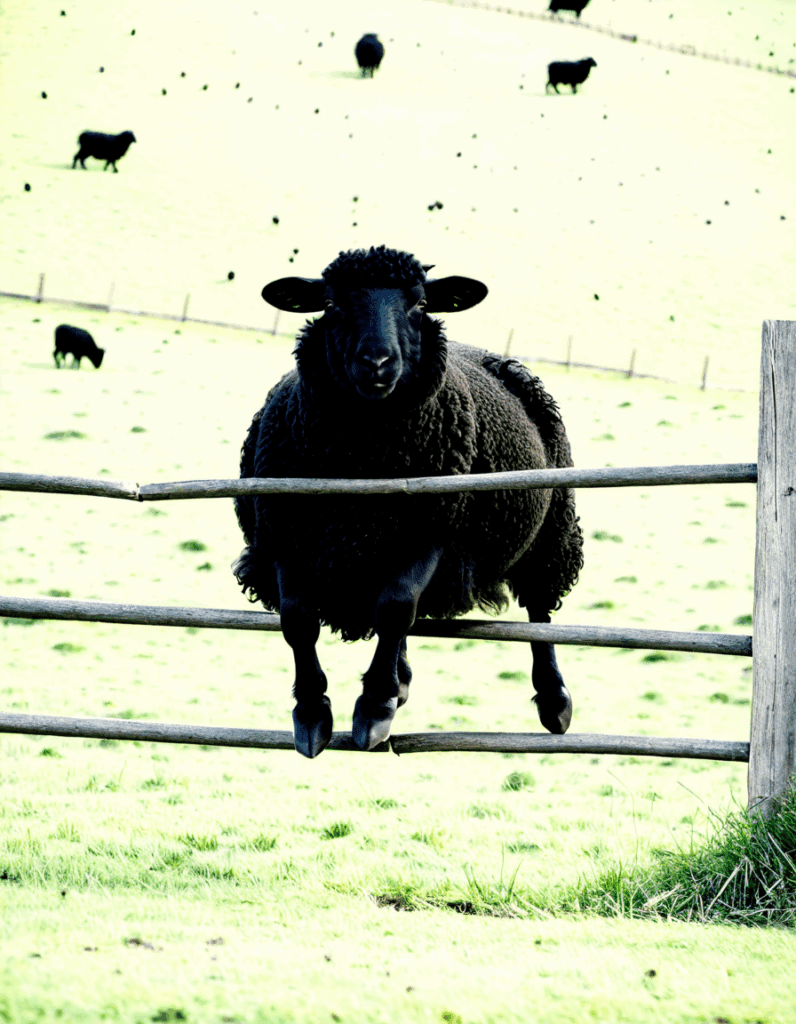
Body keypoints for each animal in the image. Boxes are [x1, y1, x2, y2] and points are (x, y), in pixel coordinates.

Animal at [233, 245, 584, 758]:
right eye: (332, 304)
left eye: (419, 304)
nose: (378, 363)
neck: (363, 466)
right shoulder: (284, 531)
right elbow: (299, 619)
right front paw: (312, 712)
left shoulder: (434, 529)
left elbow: (396, 606)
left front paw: (374, 708)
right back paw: (401, 679)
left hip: (551, 528)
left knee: (538, 609)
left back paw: (554, 700)